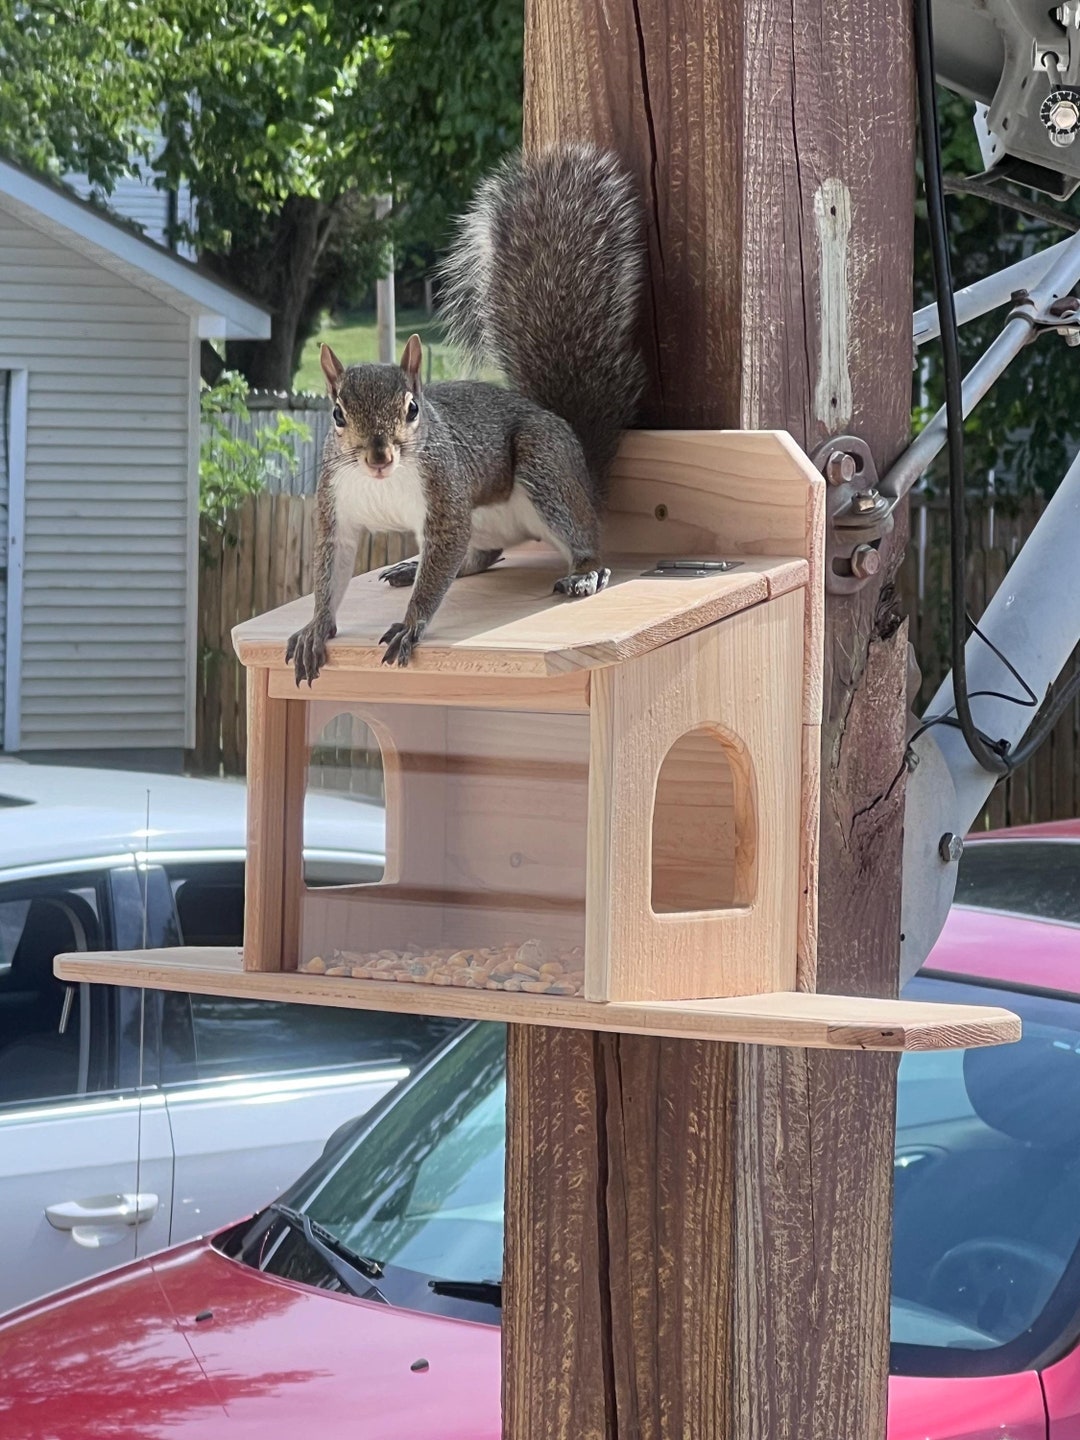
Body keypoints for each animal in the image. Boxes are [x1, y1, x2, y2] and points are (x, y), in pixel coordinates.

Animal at [286, 142, 645, 682]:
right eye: (338, 415)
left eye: (413, 407)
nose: (379, 457)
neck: (382, 483)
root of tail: (583, 466)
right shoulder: (338, 509)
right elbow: (332, 569)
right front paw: (315, 627)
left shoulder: (446, 497)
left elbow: (442, 562)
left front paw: (411, 624)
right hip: (491, 519)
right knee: (480, 555)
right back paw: (410, 567)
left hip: (545, 465)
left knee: (579, 538)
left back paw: (584, 573)